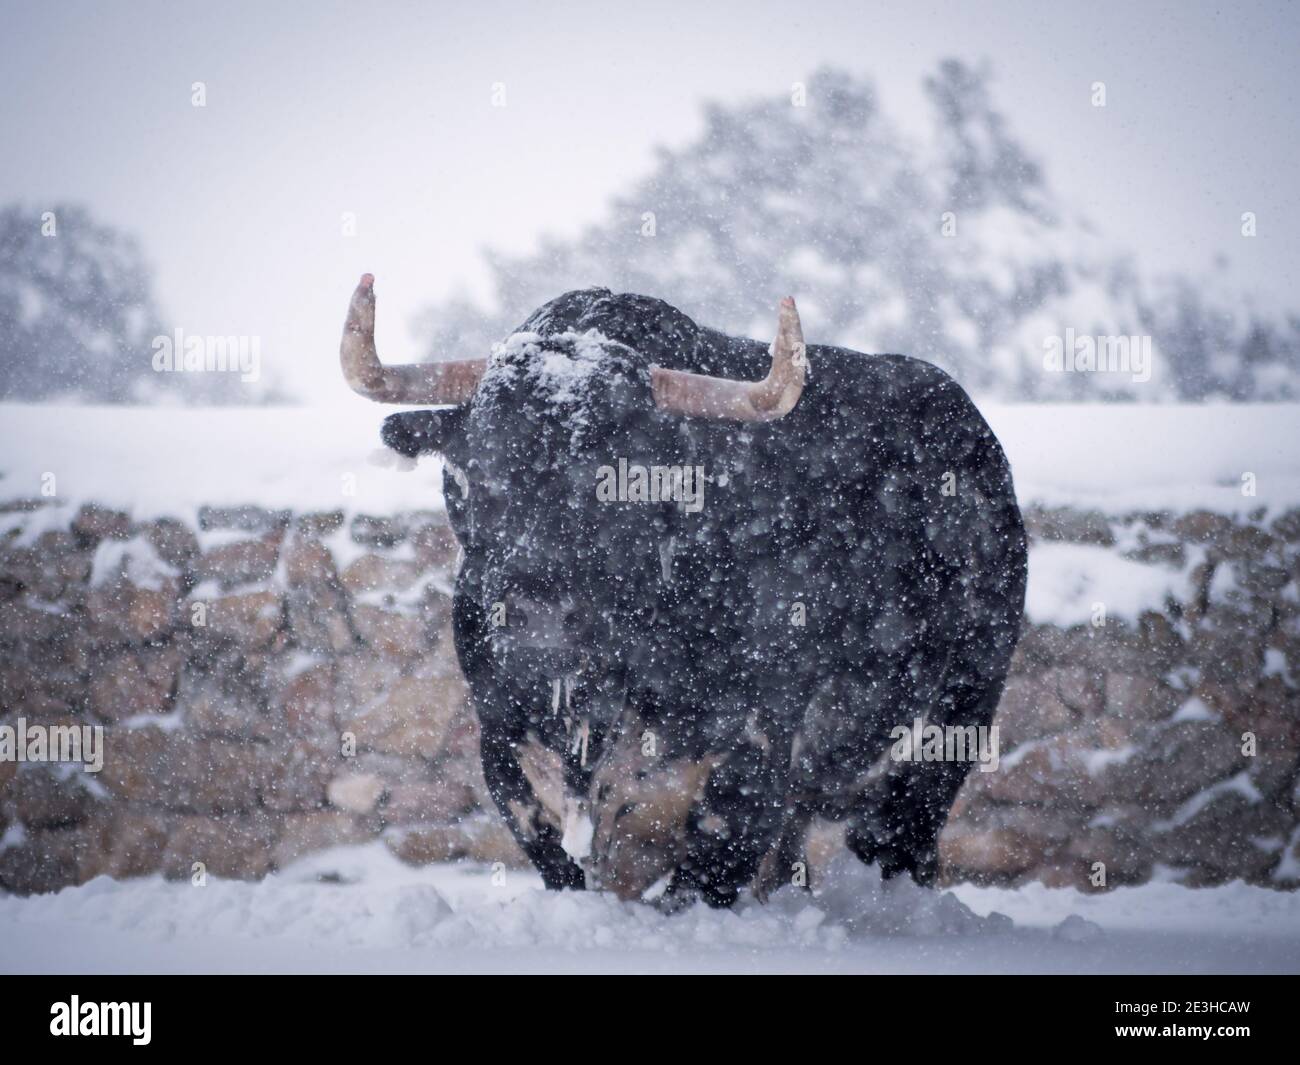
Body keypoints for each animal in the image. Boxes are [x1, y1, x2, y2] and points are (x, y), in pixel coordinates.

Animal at [340, 273, 1027, 908]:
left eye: (624, 476)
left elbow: (706, 870)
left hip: (959, 710)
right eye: (472, 468)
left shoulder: (753, 756)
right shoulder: (504, 737)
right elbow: (552, 851)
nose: (537, 615)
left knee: (900, 832)